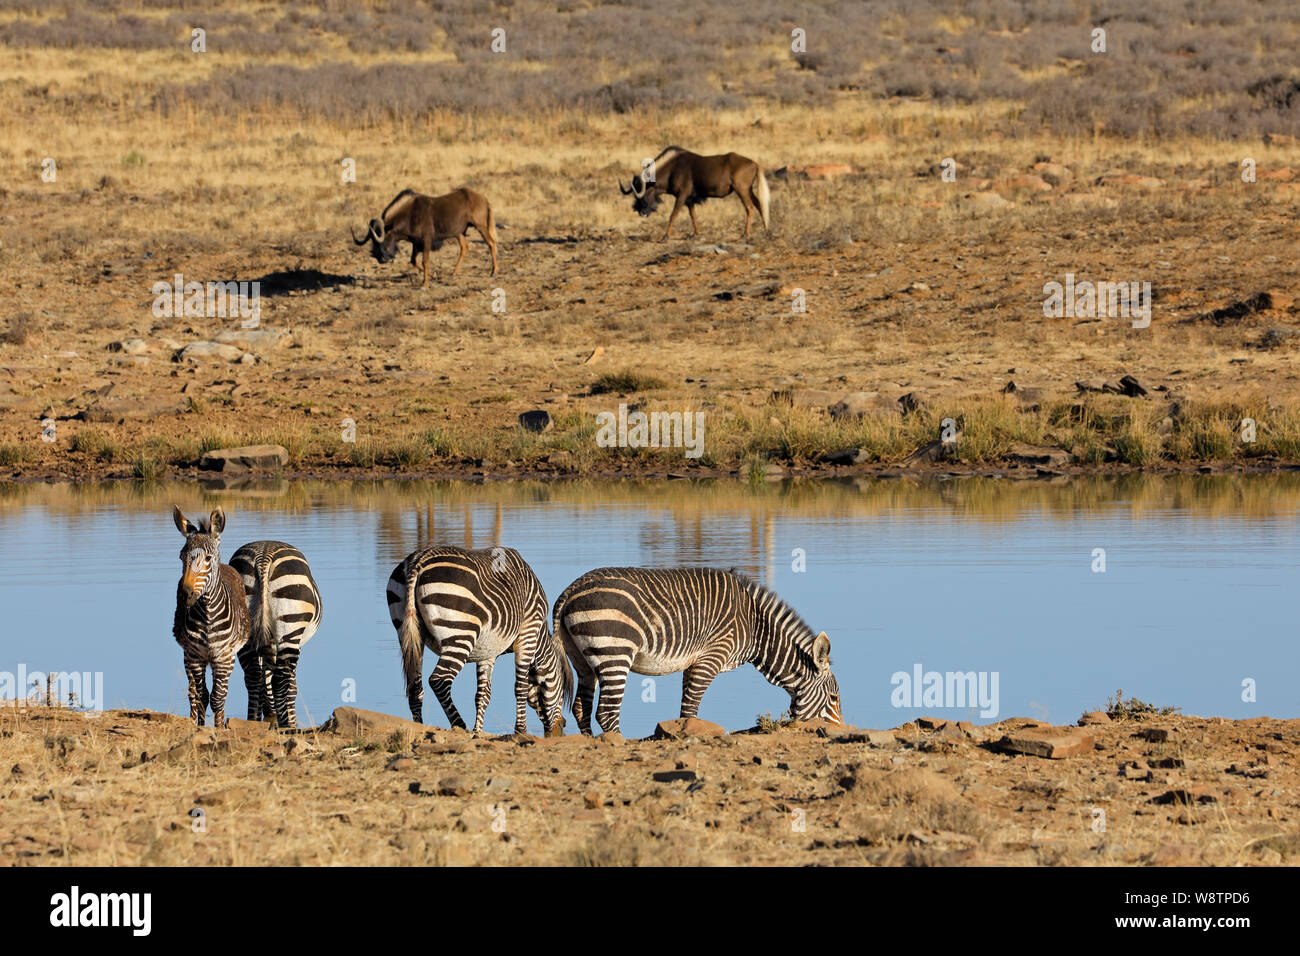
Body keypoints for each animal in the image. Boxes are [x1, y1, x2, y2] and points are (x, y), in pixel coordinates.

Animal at [171, 505, 251, 727]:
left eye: (207, 558)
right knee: (193, 693)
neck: (208, 616)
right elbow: (201, 696)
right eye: (181, 557)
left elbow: (217, 698)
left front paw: (219, 728)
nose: (185, 594)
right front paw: (198, 727)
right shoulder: (194, 656)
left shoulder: (223, 658)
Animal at [228, 541, 323, 730]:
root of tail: (263, 558)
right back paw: (287, 726)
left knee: (253, 676)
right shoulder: (296, 642)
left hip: (245, 630)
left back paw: (252, 721)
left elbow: (265, 676)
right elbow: (291, 686)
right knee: (280, 680)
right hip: (290, 626)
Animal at [386, 546, 572, 736]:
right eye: (562, 693)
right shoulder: (528, 635)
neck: (540, 638)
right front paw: (520, 730)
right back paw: (459, 725)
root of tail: (418, 560)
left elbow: (483, 694)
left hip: (408, 634)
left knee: (414, 687)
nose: (562, 726)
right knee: (438, 680)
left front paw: (478, 731)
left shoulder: (487, 651)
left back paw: (419, 726)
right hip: (460, 633)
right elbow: (521, 687)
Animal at [553, 566, 843, 736]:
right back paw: (618, 742)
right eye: (834, 698)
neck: (756, 625)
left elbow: (685, 709)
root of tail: (570, 589)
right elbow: (691, 708)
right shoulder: (711, 657)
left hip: (582, 658)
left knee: (581, 707)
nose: (841, 732)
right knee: (606, 711)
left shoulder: (693, 663)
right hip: (615, 652)